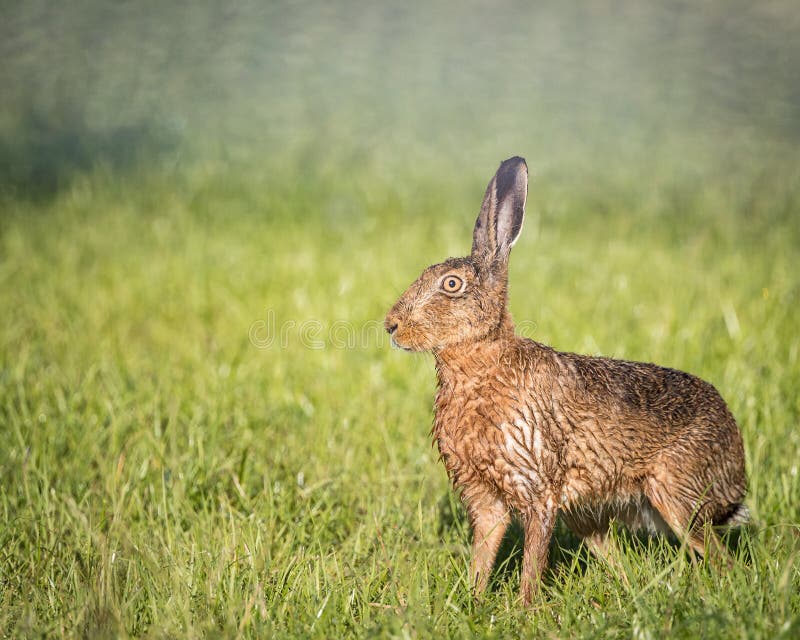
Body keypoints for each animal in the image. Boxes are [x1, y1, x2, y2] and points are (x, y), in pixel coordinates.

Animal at [384, 156, 748, 604]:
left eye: (451, 284)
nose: (391, 325)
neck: (480, 367)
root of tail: (736, 464)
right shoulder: (485, 497)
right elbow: (483, 553)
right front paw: (472, 601)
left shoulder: (539, 491)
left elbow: (532, 562)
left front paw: (523, 610)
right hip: (589, 518)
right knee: (618, 559)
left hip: (676, 496)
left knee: (720, 559)